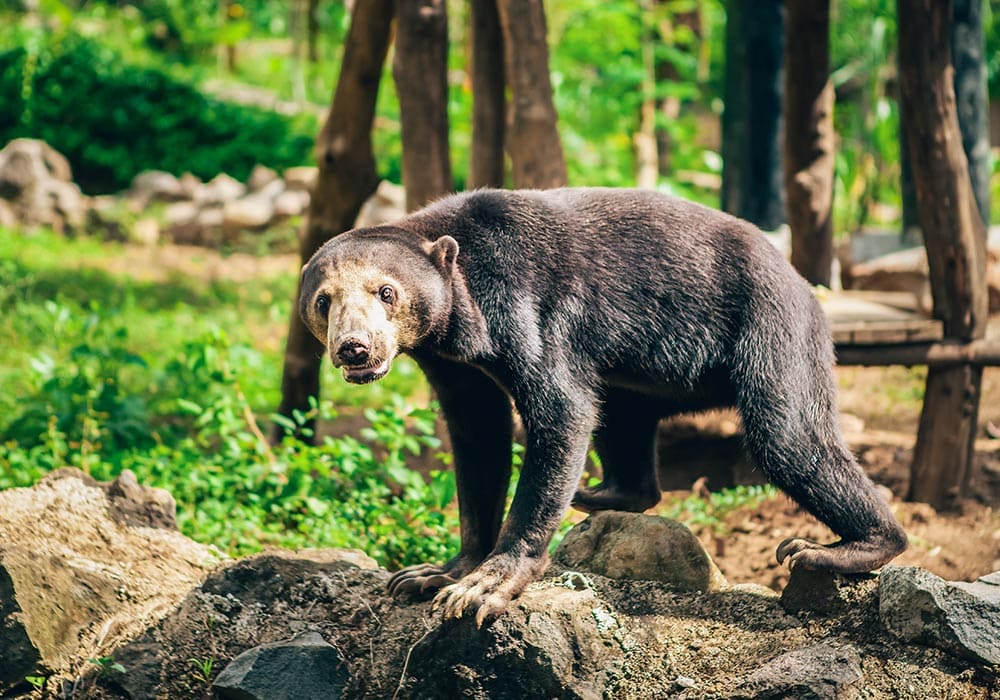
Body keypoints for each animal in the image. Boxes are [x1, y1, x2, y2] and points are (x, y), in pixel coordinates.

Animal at [298, 187, 908, 626]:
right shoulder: (449, 360)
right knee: (625, 419)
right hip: (644, 373)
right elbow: (478, 436)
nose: (355, 349)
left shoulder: (525, 310)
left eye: (386, 292)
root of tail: (804, 281)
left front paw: (482, 588)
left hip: (772, 324)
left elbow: (559, 414)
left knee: (789, 437)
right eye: (323, 301)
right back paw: (602, 493)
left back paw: (845, 546)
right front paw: (433, 574)